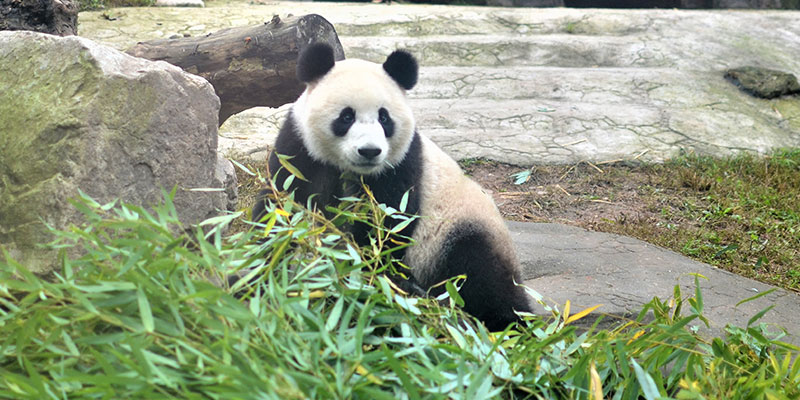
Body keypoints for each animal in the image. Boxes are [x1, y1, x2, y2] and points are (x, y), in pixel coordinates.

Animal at [252, 43, 532, 331]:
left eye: (384, 118)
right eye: (346, 116)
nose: (369, 151)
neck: (352, 170)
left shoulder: (399, 165)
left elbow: (387, 224)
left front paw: (364, 275)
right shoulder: (301, 150)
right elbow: (281, 208)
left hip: (459, 229)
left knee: (480, 274)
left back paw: (506, 324)